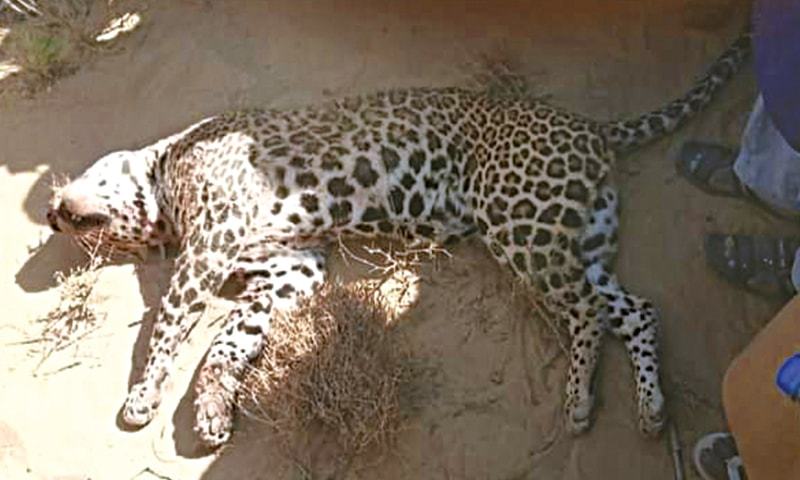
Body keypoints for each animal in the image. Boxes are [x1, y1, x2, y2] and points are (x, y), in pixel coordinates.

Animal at [46, 34, 750, 448]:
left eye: (85, 229)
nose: (52, 212)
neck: (165, 169)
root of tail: (590, 126)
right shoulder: (291, 270)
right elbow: (229, 342)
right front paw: (214, 408)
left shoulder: (207, 251)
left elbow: (165, 326)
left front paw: (142, 396)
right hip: (573, 234)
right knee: (634, 309)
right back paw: (651, 408)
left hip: (521, 225)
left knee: (587, 312)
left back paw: (579, 399)